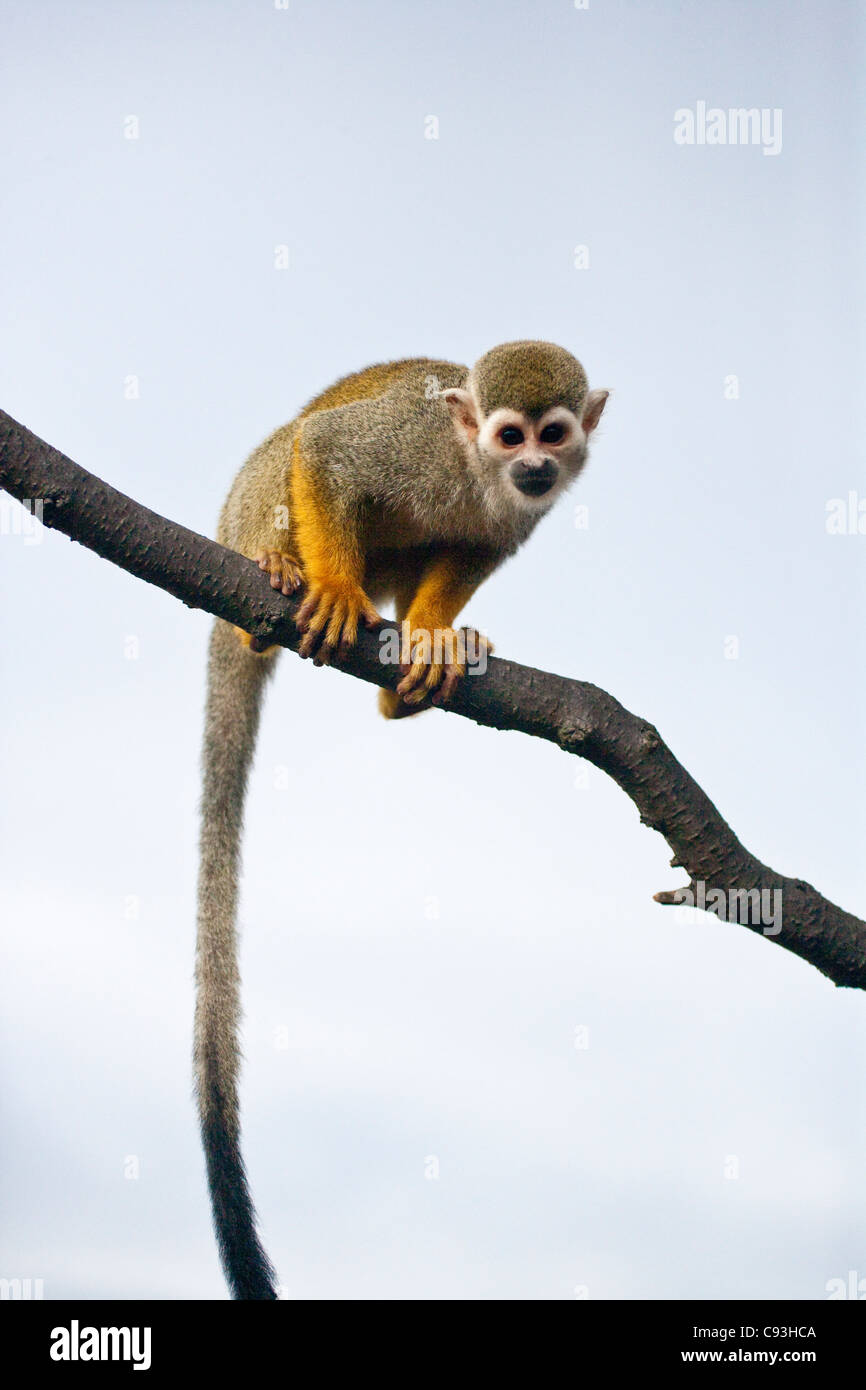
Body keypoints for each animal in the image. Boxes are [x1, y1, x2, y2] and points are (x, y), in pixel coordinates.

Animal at [195, 341, 608, 1297]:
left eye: (553, 435)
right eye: (508, 434)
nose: (535, 467)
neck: (472, 469)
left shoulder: (514, 518)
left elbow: (475, 545)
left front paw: (429, 633)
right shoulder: (410, 441)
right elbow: (327, 451)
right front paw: (335, 589)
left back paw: (405, 686)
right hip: (243, 510)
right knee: (289, 452)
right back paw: (282, 581)